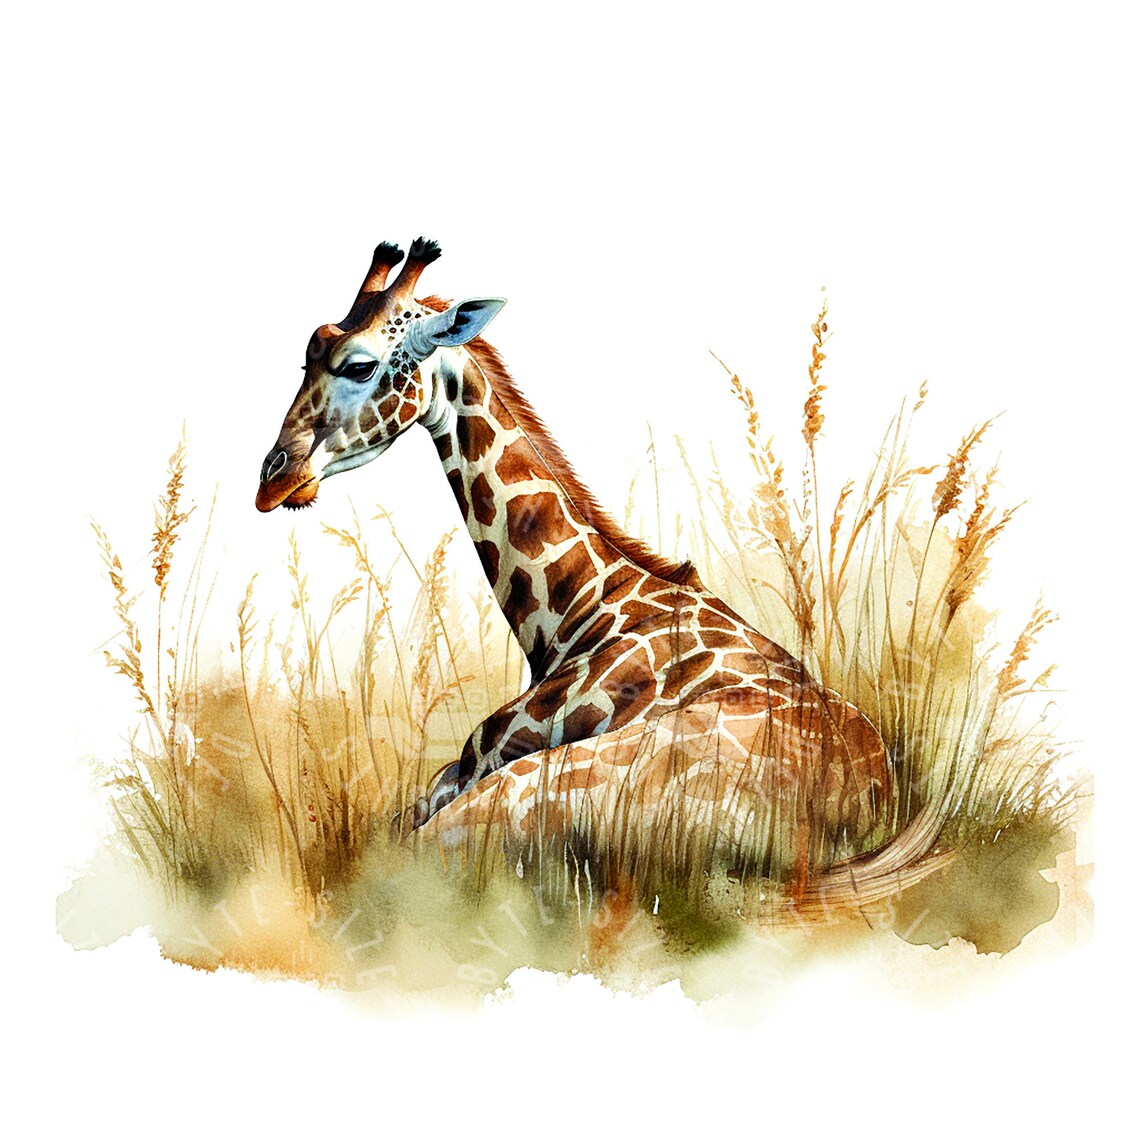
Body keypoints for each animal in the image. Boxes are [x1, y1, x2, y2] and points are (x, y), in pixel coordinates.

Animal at [256, 238, 892, 886]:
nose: (273, 479)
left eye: (360, 365)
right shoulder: (450, 776)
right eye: (306, 358)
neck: (581, 606)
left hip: (537, 790)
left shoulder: (488, 758)